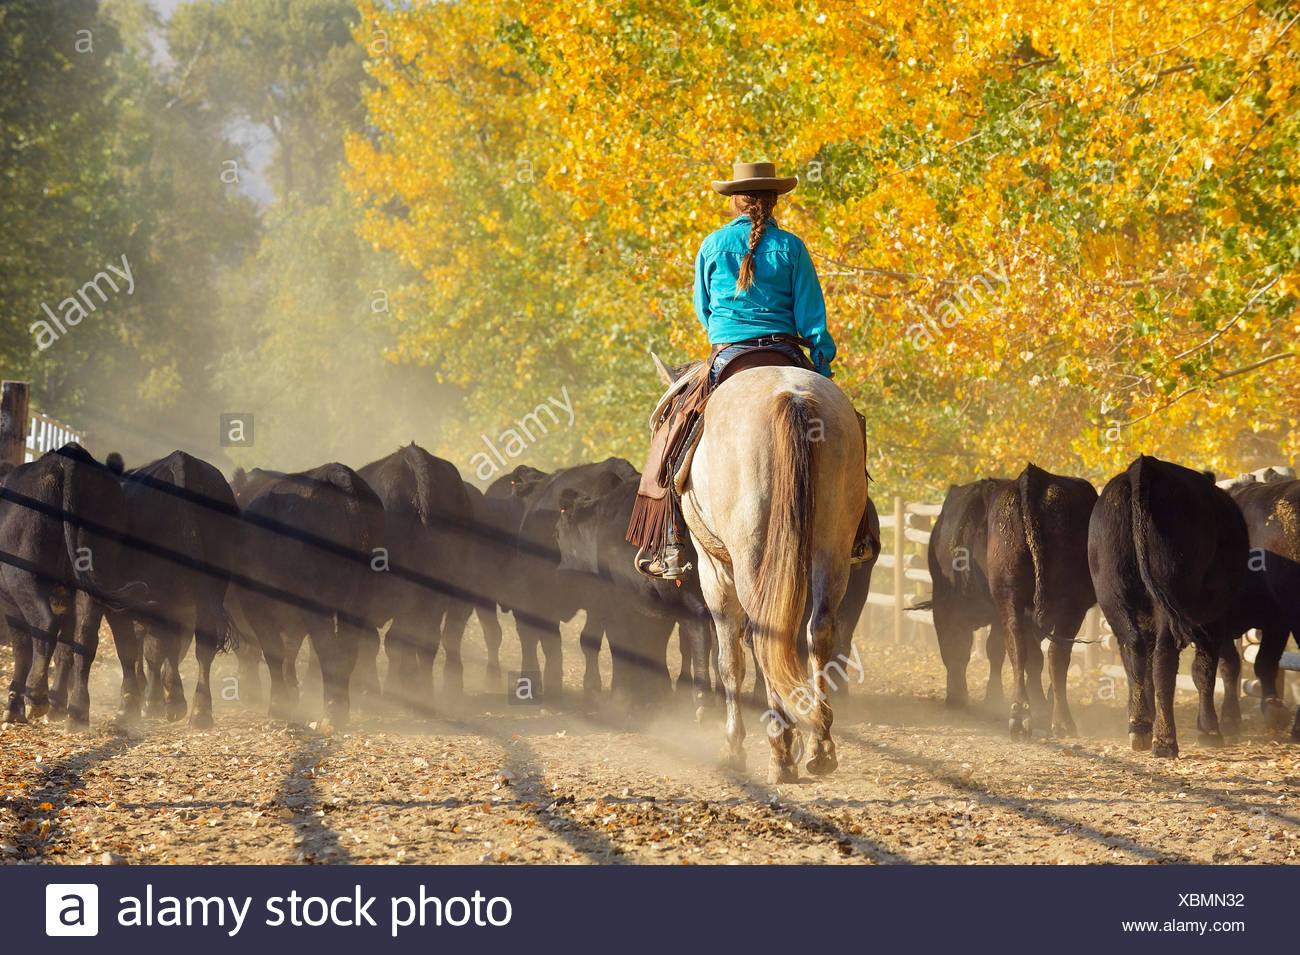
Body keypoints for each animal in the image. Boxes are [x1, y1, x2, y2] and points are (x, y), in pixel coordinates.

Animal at [0, 443, 146, 729]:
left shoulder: (10, 601)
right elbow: (65, 650)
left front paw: (14, 706)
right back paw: (78, 712)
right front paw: (58, 706)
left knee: (44, 625)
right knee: (86, 639)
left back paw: (37, 697)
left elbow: (23, 649)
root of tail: (67, 455)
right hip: (91, 582)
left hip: (22, 577)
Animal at [99, 451, 241, 729]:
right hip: (212, 587)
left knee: (156, 647)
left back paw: (165, 701)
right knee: (201, 646)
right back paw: (200, 711)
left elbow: (139, 648)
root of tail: (181, 460)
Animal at [227, 463, 384, 729]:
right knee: (348, 648)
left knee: (327, 647)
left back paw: (332, 711)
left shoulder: (256, 605)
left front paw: (279, 704)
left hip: (318, 604)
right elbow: (289, 648)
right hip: (360, 601)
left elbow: (274, 650)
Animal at [987, 464, 1098, 738]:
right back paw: (1063, 721)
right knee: (1058, 654)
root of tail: (1032, 478)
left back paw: (1020, 713)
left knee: (1016, 645)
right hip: (1071, 607)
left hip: (1008, 595)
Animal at [1089, 455, 1247, 757]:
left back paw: (1139, 727)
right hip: (1175, 600)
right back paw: (1165, 741)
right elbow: (1204, 670)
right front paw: (1209, 730)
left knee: (1134, 650)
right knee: (1164, 660)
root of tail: (1145, 465)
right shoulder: (1213, 616)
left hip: (1113, 594)